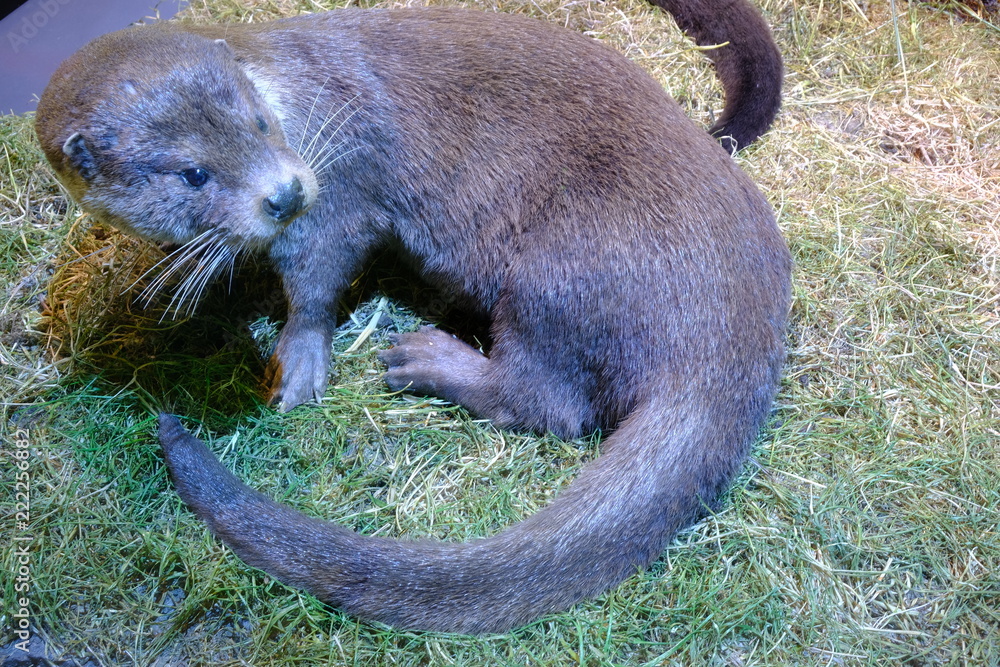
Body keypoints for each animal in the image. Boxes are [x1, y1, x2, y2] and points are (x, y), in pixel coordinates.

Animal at [35, 3, 790, 634]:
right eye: (192, 173)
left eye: (257, 125)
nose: (284, 193)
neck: (289, 95)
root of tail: (730, 338)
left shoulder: (338, 188)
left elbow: (319, 275)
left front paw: (297, 360)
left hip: (557, 273)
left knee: (548, 403)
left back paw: (425, 358)